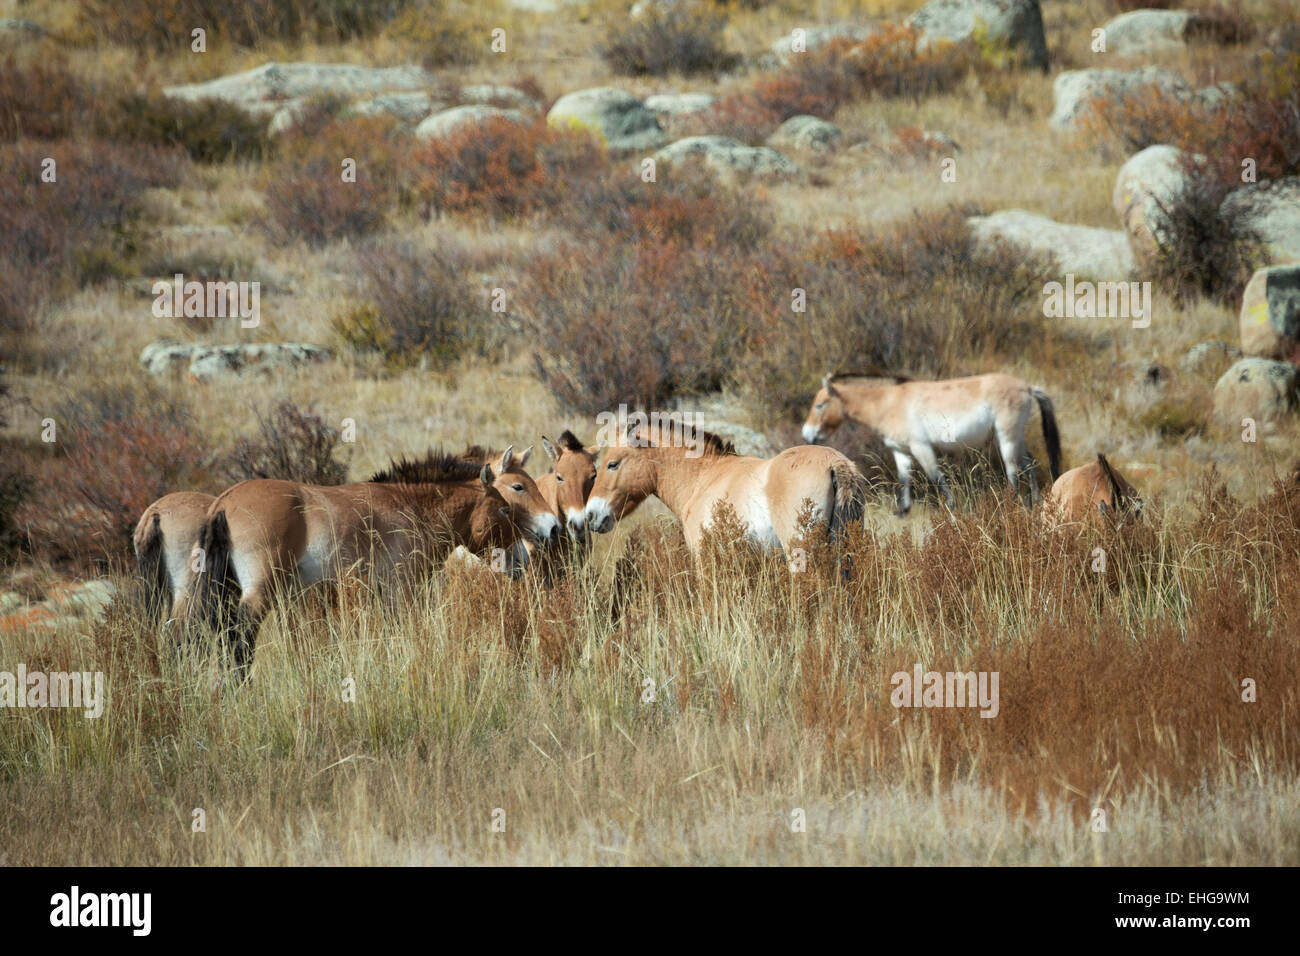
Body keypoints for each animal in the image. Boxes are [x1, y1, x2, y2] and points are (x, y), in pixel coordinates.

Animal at [196, 445, 559, 679]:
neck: (409, 506)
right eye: (513, 495)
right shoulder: (402, 592)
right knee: (240, 638)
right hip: (258, 595)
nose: (522, 558)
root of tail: (224, 502)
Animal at [801, 370, 1062, 514]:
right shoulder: (901, 451)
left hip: (1007, 435)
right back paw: (1035, 503)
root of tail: (1027, 387)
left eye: (820, 405)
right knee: (1029, 464)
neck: (889, 402)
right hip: (1015, 437)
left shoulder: (921, 447)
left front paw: (951, 507)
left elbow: (935, 476)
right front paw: (903, 512)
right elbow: (904, 478)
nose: (807, 435)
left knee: (1012, 470)